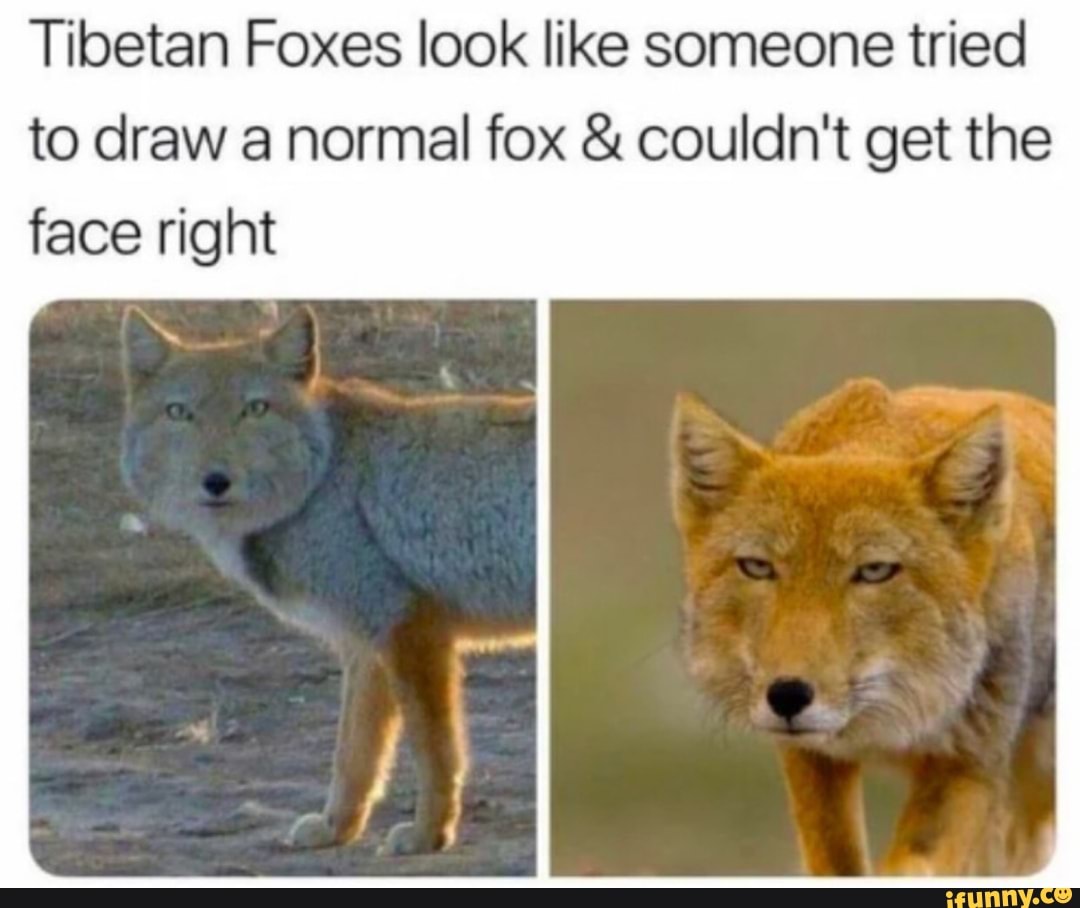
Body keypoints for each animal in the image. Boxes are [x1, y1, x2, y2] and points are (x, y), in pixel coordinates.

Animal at [120, 304, 535, 857]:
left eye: (255, 409)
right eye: (178, 413)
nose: (216, 481)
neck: (325, 475)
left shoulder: (407, 631)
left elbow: (434, 753)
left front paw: (428, 834)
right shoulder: (364, 645)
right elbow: (353, 757)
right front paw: (337, 828)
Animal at [670, 378, 1054, 876]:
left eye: (874, 571)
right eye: (757, 567)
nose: (787, 696)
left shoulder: (969, 764)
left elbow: (912, 865)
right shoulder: (810, 757)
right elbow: (838, 862)